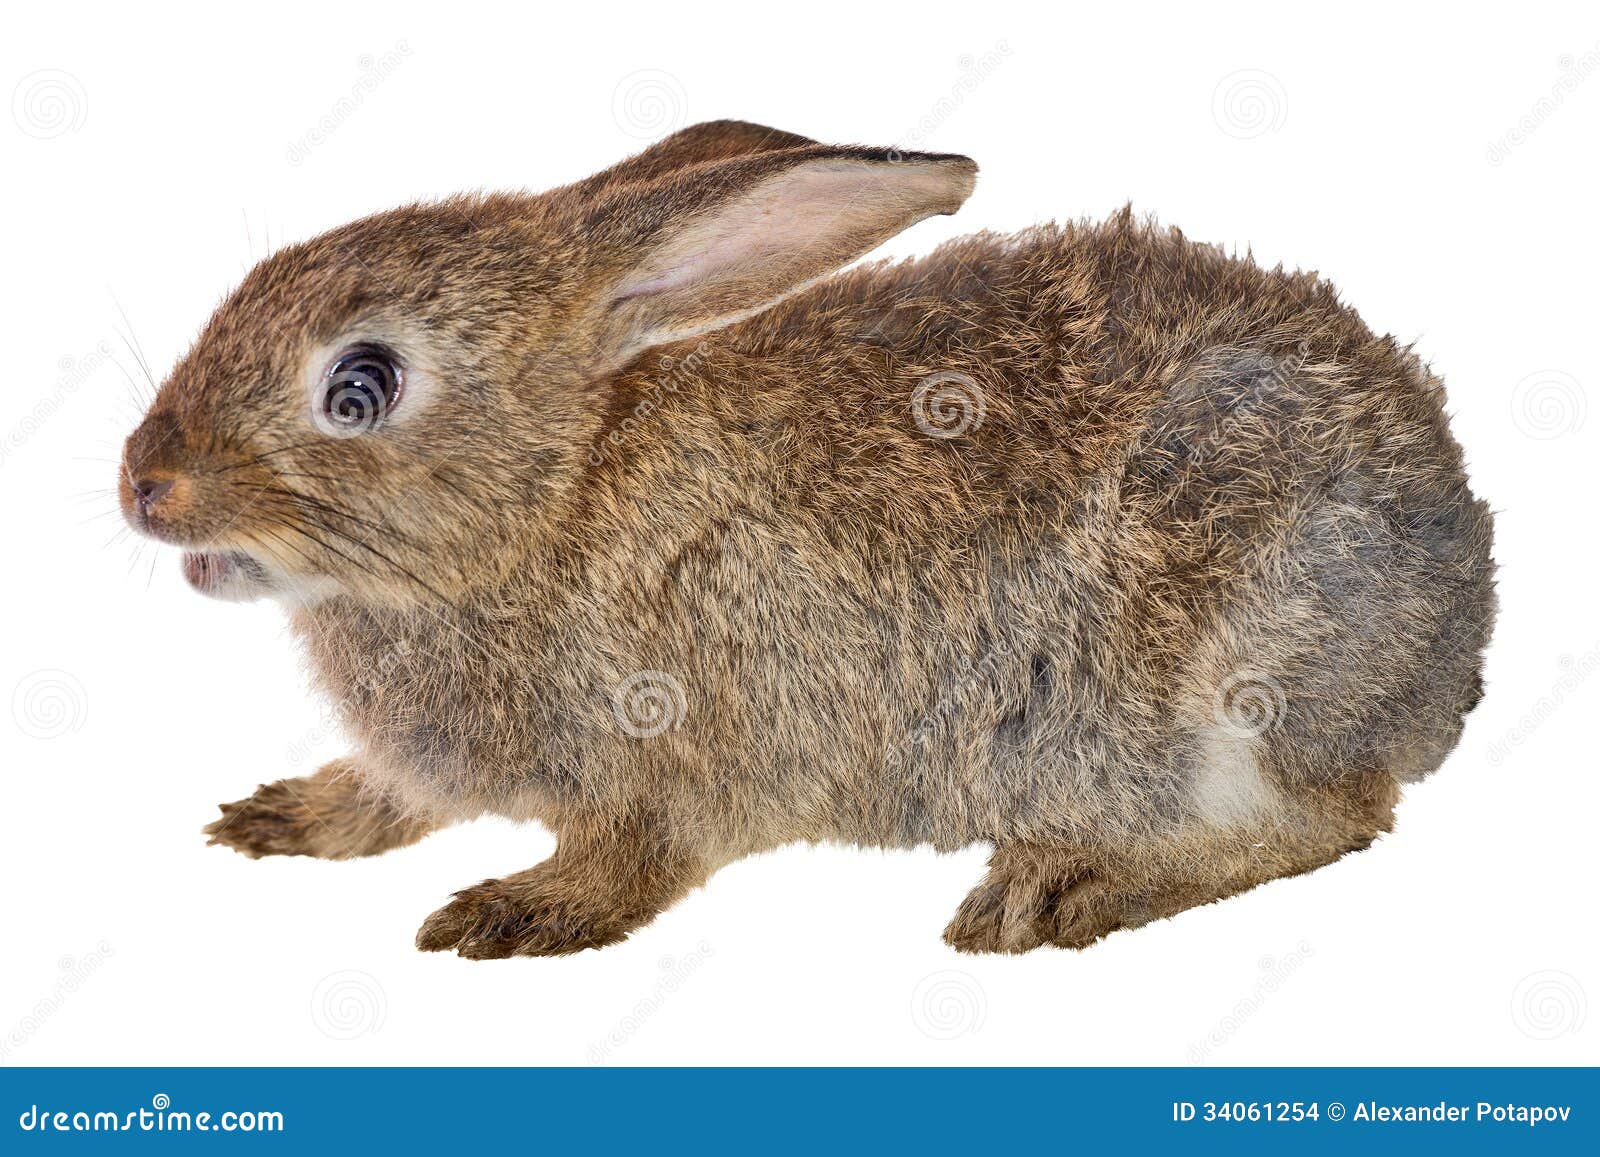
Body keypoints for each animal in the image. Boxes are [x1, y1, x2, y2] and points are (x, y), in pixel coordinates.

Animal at [119, 119, 1495, 957]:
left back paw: (1062, 884)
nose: (145, 486)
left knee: (1328, 818)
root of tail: (1459, 620)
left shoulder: (680, 748)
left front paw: (514, 913)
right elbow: (389, 795)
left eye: (360, 387)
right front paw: (285, 817)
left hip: (1236, 658)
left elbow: (630, 856)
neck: (555, 491)